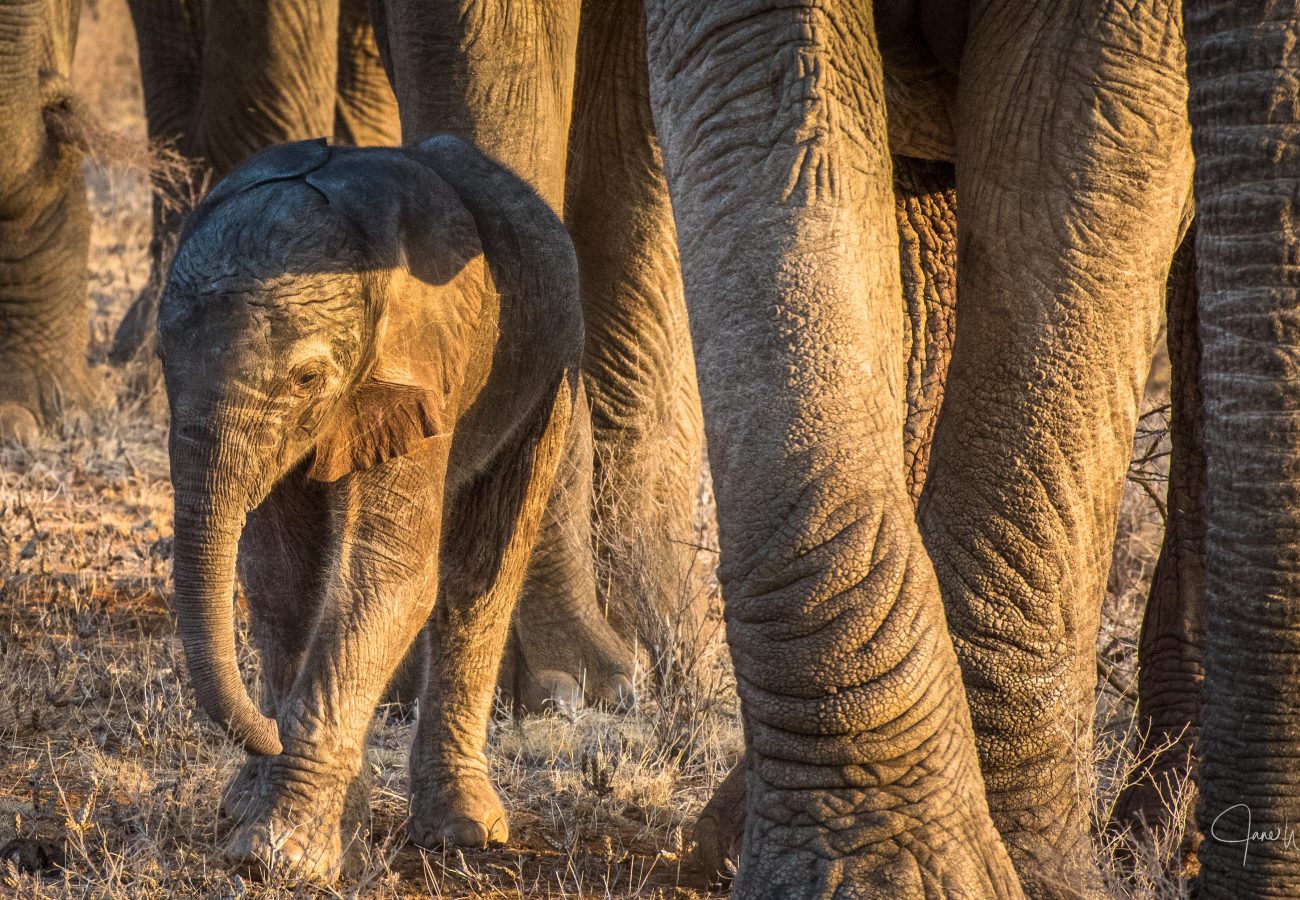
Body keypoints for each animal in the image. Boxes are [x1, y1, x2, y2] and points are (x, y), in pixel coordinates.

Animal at [159, 134, 594, 878]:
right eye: (160, 361)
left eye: (308, 378)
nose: (264, 735)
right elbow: (281, 582)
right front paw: (285, 815)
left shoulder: (424, 372)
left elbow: (384, 579)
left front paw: (277, 858)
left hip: (549, 367)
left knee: (479, 577)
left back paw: (465, 831)